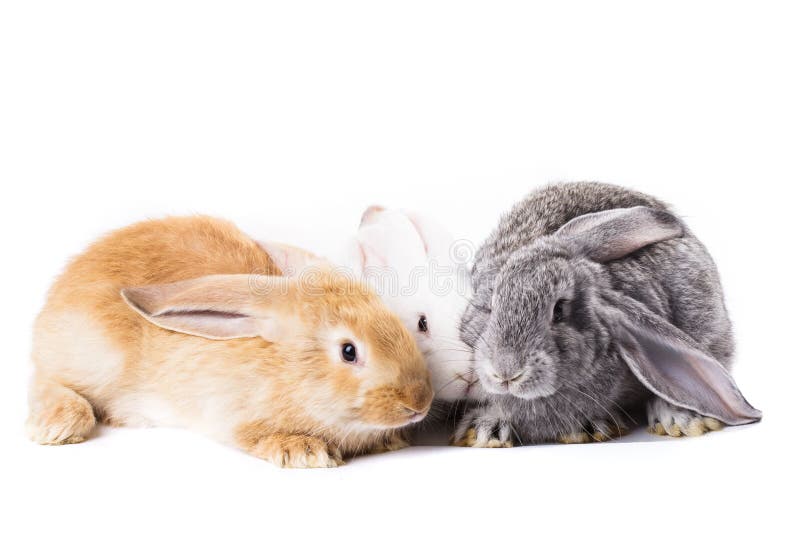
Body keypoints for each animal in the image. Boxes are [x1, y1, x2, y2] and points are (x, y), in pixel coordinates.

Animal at [27, 215, 433, 467]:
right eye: (349, 351)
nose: (419, 402)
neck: (288, 371)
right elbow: (252, 437)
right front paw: (303, 451)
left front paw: (391, 442)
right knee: (47, 381)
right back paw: (58, 427)